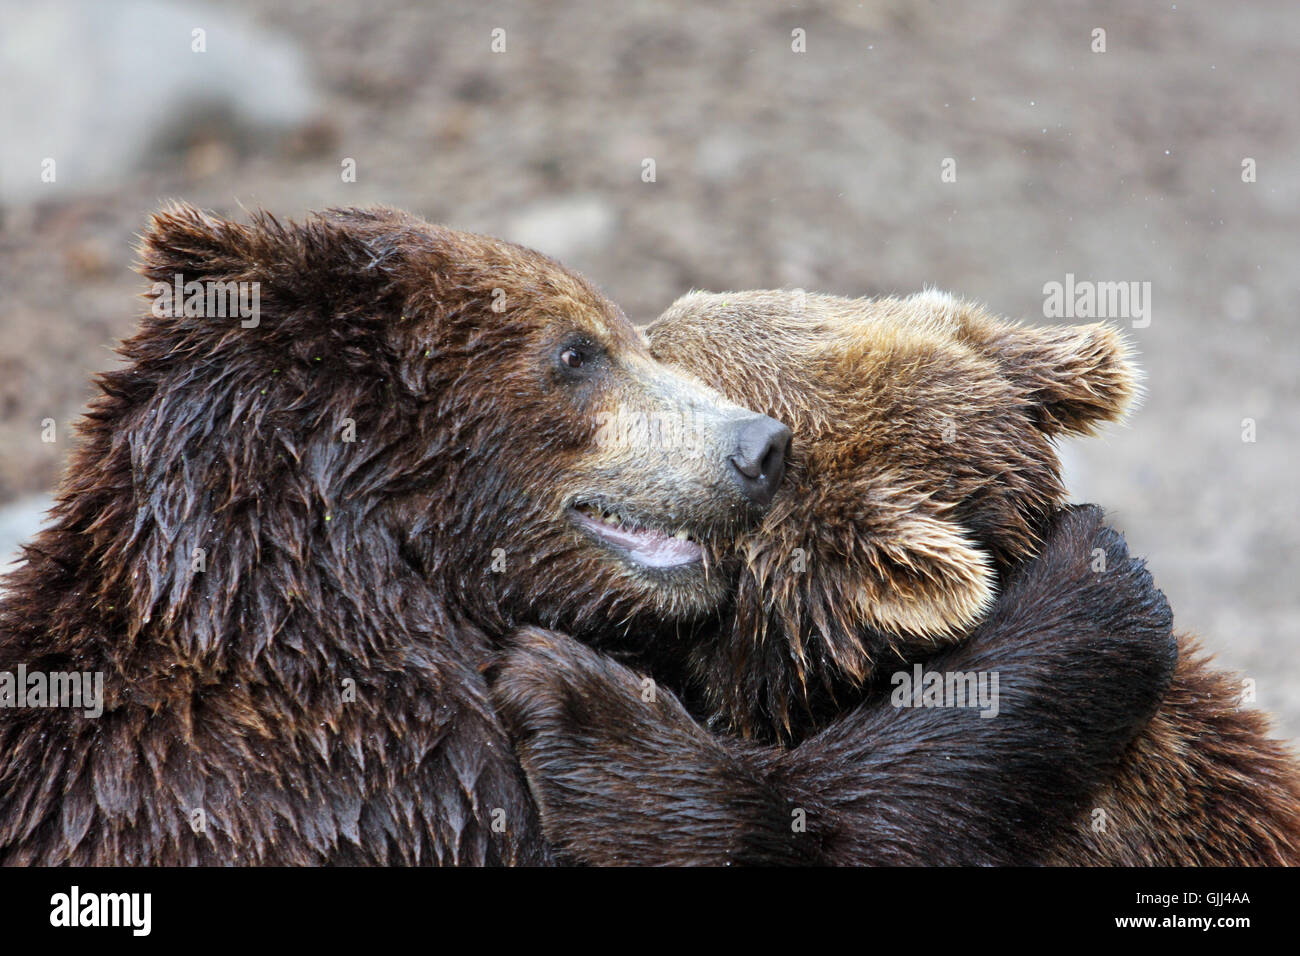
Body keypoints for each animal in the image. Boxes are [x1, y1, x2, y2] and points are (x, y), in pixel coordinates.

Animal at [0, 206, 1173, 865]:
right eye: (577, 351)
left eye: (614, 328)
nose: (760, 446)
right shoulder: (377, 783)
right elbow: (804, 826)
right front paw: (1092, 592)